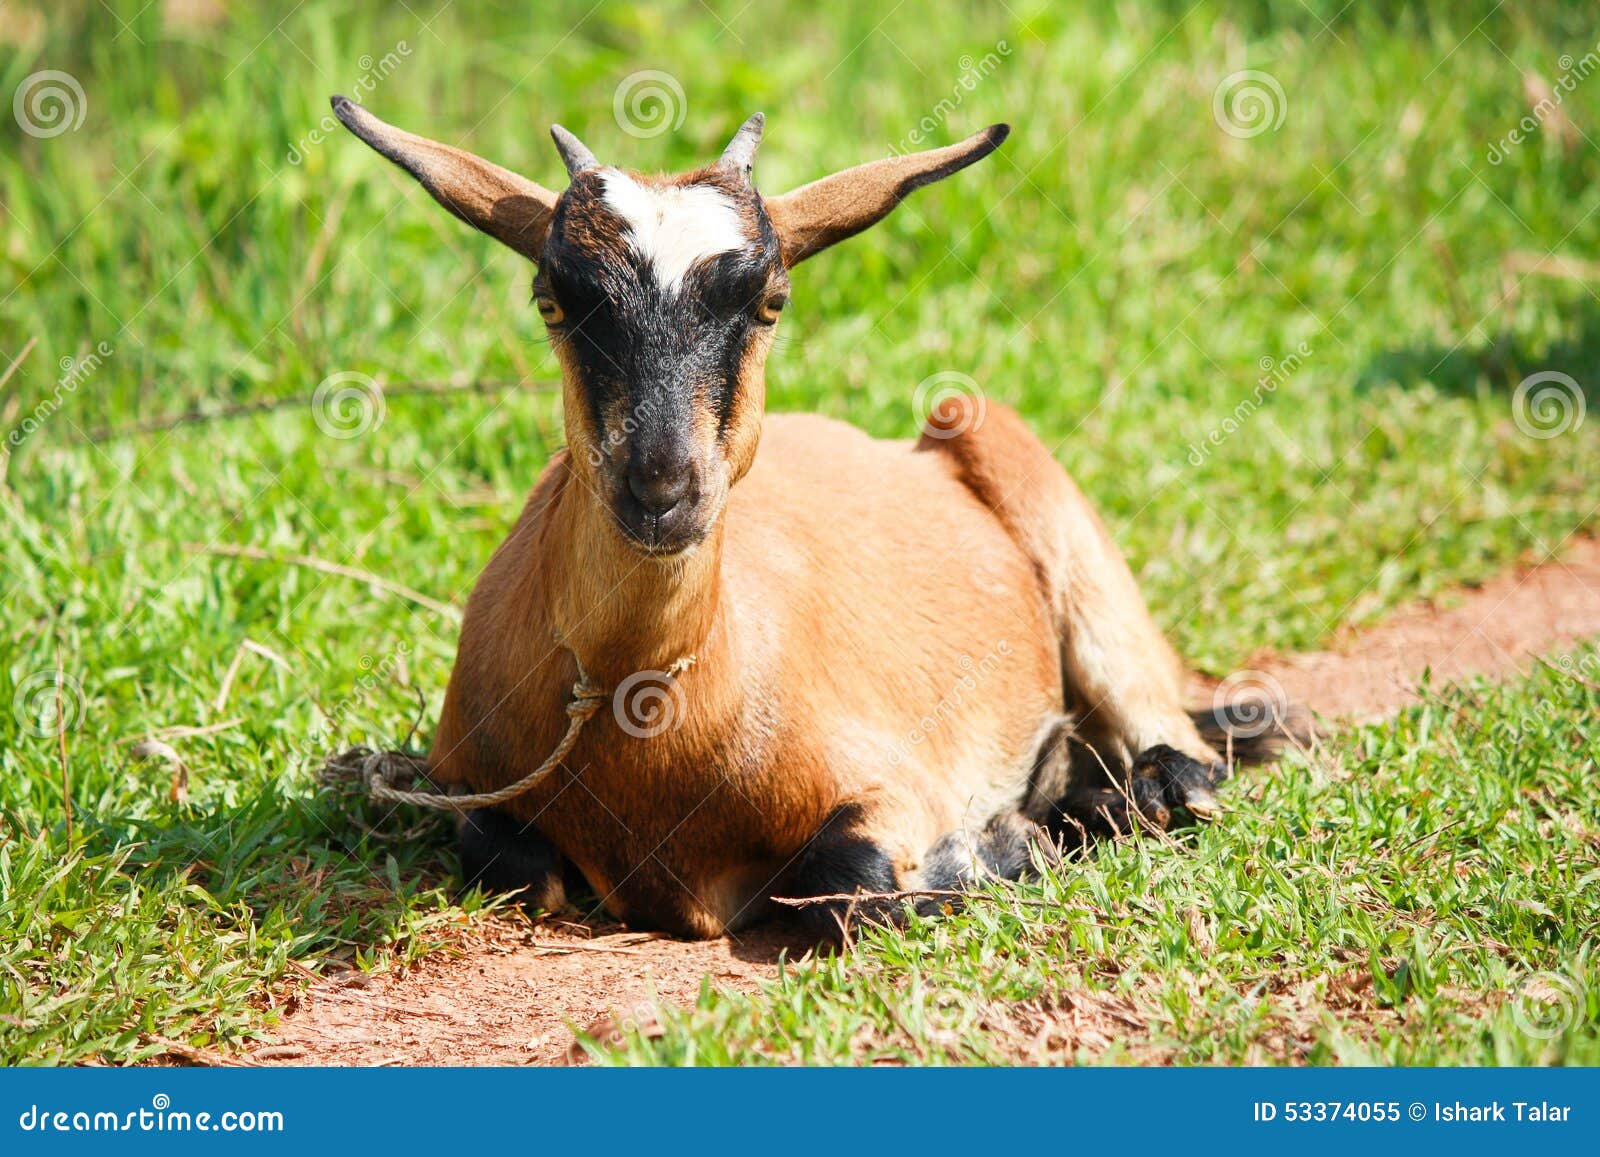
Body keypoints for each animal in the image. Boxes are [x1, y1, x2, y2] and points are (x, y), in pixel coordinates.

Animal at [332, 96, 1295, 941]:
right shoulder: (471, 786)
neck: (641, 705)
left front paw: (996, 846)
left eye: (769, 301)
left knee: (1183, 761)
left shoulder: (896, 781)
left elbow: (847, 884)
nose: (662, 490)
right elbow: (518, 867)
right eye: (554, 301)